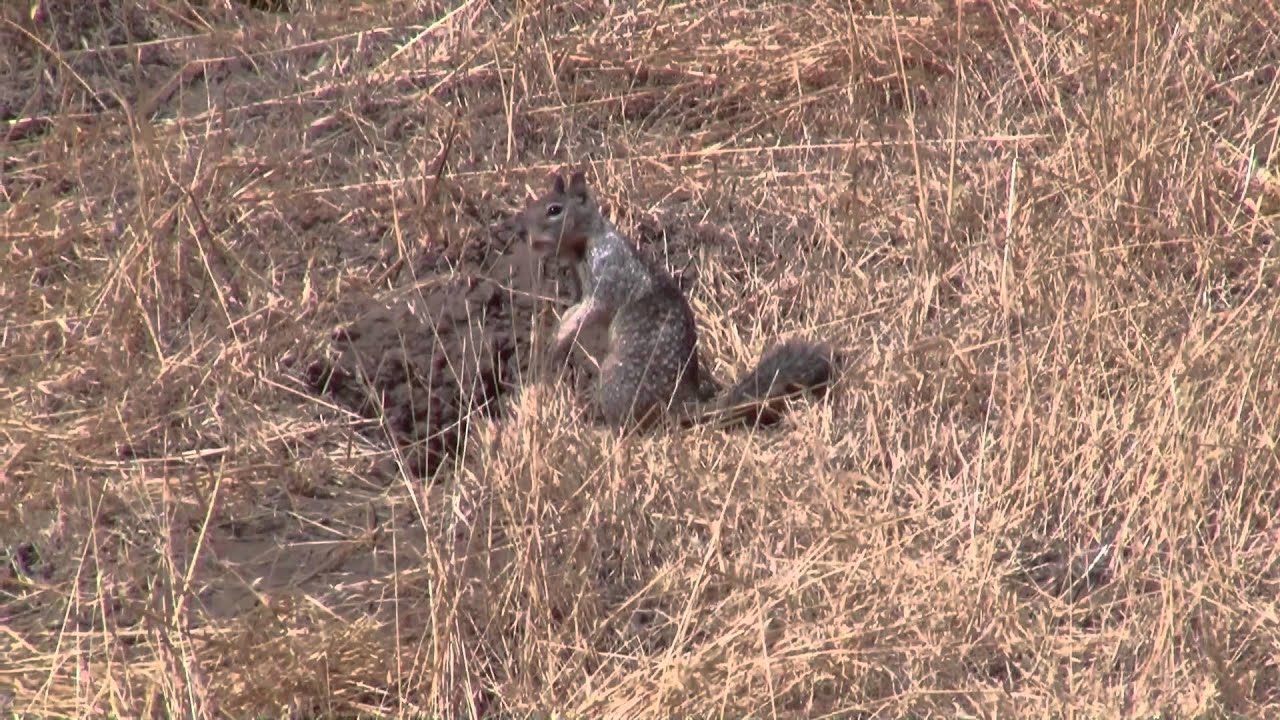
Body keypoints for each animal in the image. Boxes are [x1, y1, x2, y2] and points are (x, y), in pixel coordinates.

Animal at [518, 169, 837, 431]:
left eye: (554, 209)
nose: (522, 232)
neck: (587, 241)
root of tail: (682, 407)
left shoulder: (609, 275)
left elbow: (590, 309)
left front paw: (558, 339)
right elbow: (574, 308)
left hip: (615, 377)